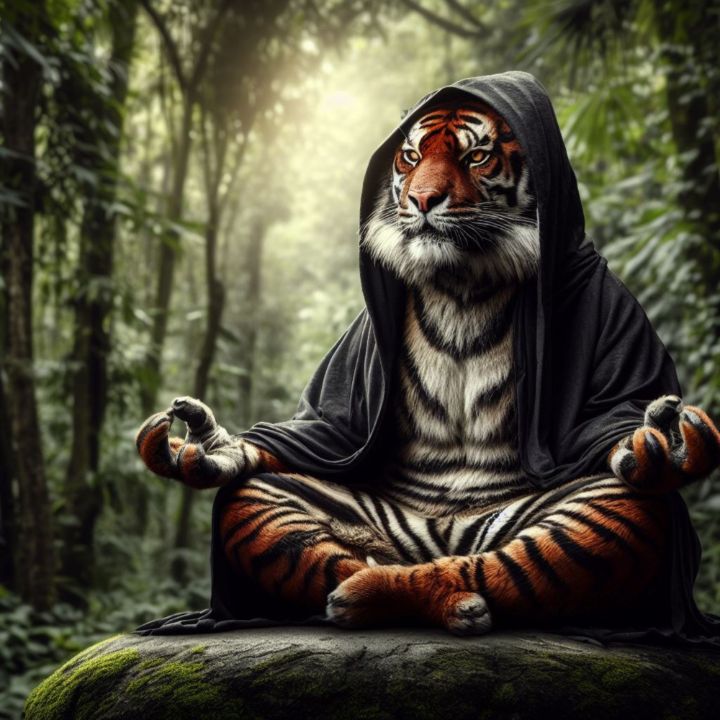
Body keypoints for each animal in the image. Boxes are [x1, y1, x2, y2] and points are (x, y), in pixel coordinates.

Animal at [136, 101, 720, 635]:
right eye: (412, 157)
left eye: (477, 156)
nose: (421, 200)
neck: (462, 279)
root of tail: (439, 539)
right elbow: (325, 424)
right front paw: (210, 445)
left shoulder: (613, 309)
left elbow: (619, 414)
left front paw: (664, 439)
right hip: (303, 507)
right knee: (269, 506)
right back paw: (360, 593)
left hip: (585, 510)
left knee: (535, 544)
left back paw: (436, 601)